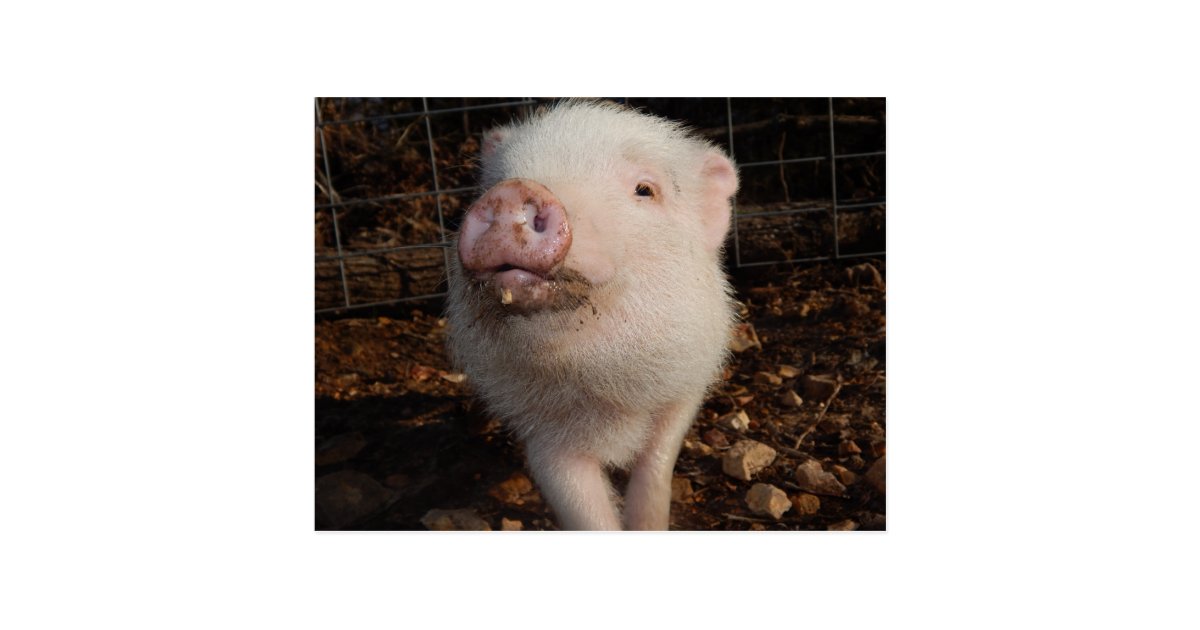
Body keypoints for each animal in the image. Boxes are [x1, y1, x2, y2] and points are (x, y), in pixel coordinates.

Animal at [445, 100, 739, 530]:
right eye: (493, 184)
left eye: (645, 190)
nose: (511, 193)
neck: (606, 392)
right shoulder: (539, 427)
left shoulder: (686, 386)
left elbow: (657, 465)